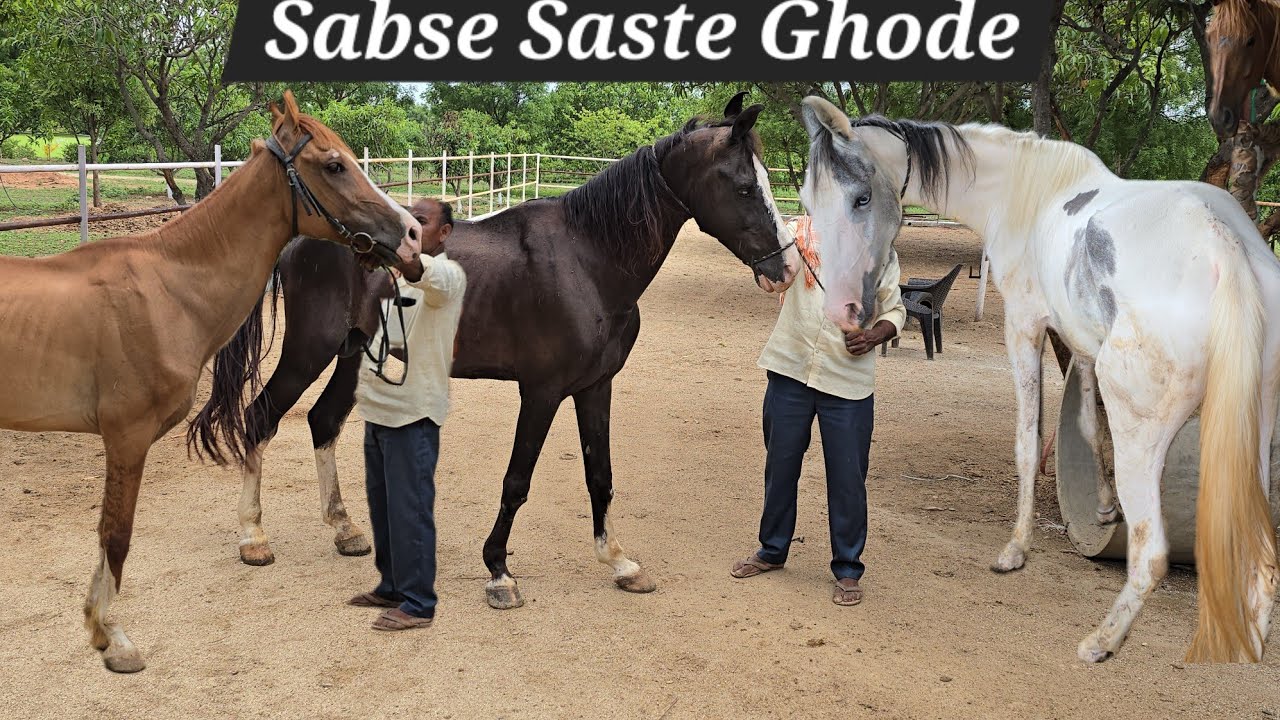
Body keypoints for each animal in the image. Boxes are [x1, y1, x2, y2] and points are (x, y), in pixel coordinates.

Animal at [0, 91, 422, 672]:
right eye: (335, 165)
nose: (411, 234)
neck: (165, 288)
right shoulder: (125, 437)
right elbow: (116, 534)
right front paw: (112, 635)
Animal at [193, 93, 802, 610]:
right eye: (744, 187)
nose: (786, 267)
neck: (589, 259)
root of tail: (301, 236)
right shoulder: (542, 391)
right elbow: (517, 480)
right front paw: (499, 572)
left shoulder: (594, 387)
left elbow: (599, 473)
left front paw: (619, 561)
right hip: (309, 350)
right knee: (260, 419)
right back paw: (253, 536)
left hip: (352, 353)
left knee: (322, 421)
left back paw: (345, 530)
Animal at [798, 95, 1280, 664]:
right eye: (808, 200)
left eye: (862, 198)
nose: (842, 310)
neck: (1025, 190)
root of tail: (1223, 244)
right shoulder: (1080, 344)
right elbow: (1087, 426)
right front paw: (1102, 508)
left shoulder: (1025, 328)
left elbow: (1029, 443)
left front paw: (1016, 549)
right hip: (1258, 423)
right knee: (1262, 548)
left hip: (1144, 434)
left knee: (1152, 553)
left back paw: (1102, 641)